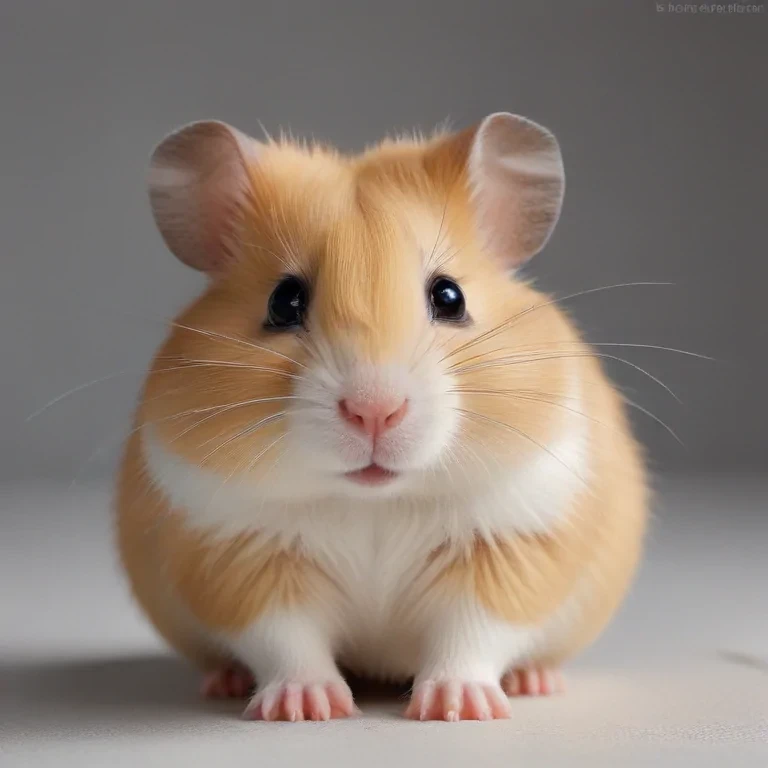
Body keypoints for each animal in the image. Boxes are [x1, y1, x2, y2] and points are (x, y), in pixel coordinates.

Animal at [116, 113, 648, 722]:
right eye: (284, 302)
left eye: (449, 297)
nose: (374, 411)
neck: (374, 501)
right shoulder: (240, 555)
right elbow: (286, 640)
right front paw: (306, 708)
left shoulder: (508, 547)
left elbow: (470, 634)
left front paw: (454, 707)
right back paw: (225, 683)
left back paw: (534, 681)